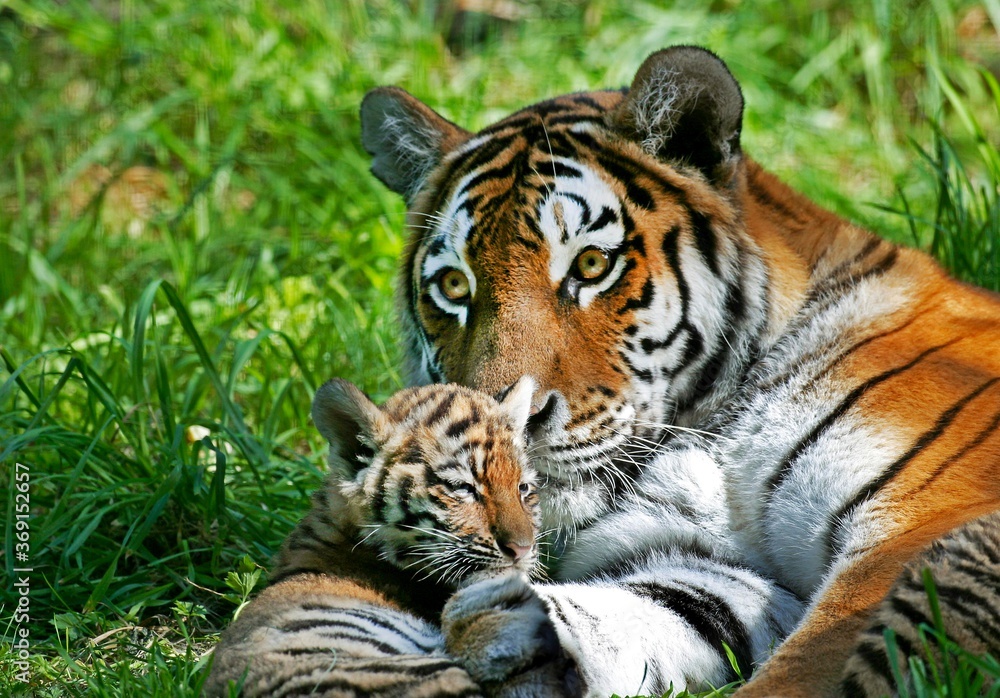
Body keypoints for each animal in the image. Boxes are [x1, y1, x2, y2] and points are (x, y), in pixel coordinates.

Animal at [347, 44, 1000, 697]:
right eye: (455, 286)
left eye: (591, 264)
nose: (502, 433)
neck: (715, 422)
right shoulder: (699, 559)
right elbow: (645, 613)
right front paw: (495, 620)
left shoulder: (915, 527)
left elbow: (809, 666)